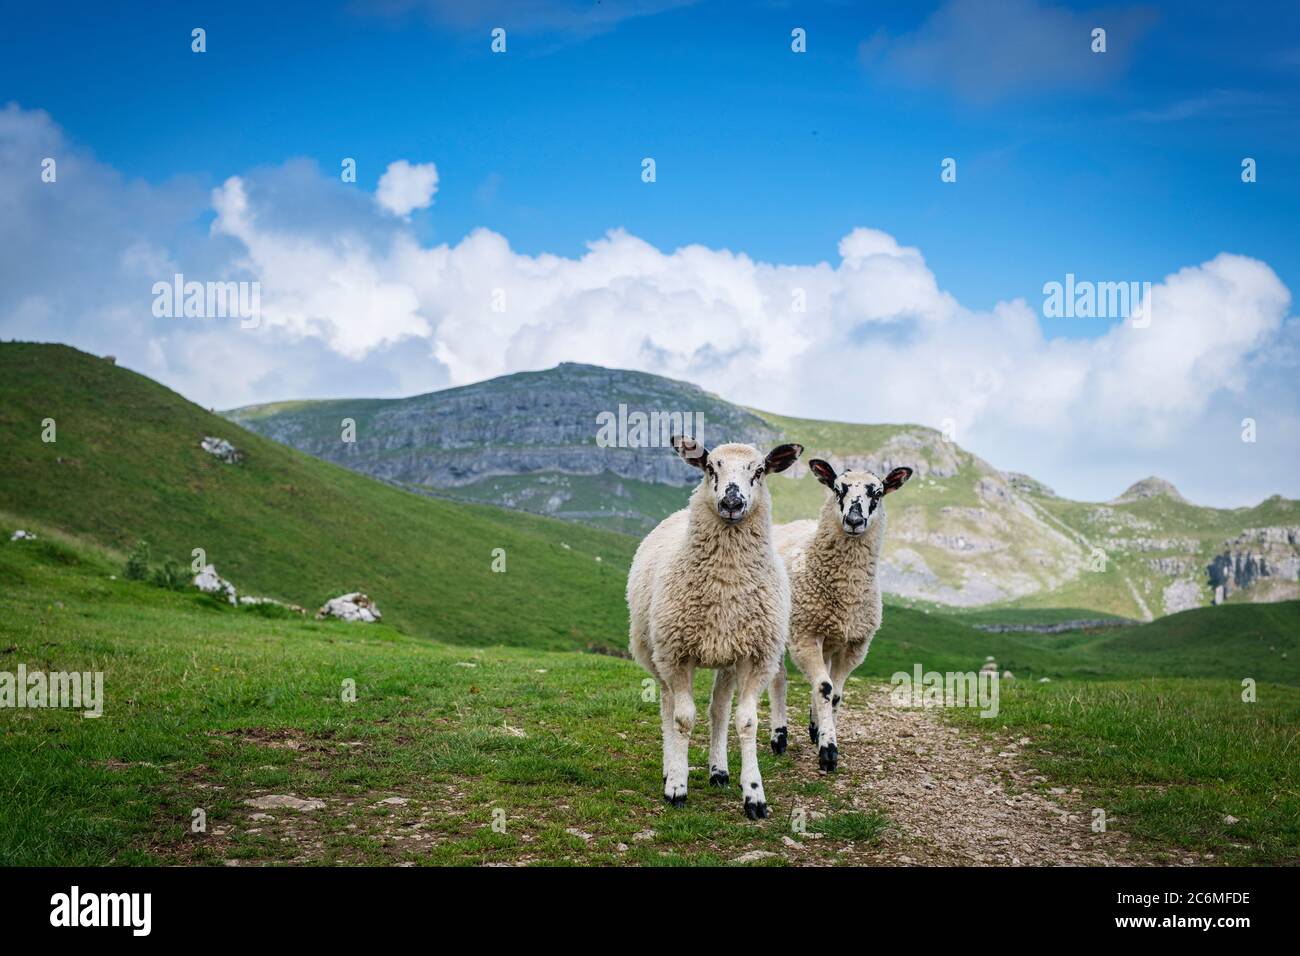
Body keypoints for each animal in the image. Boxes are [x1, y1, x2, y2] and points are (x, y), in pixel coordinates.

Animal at [627, 435, 804, 818]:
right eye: (710, 467)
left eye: (760, 470)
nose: (732, 503)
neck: (726, 583)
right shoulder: (677, 654)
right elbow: (682, 719)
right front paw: (677, 788)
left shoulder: (756, 657)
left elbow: (746, 721)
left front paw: (754, 794)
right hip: (656, 653)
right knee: (667, 705)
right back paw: (670, 768)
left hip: (727, 658)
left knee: (719, 710)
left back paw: (719, 771)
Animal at [768, 459, 913, 772]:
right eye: (837, 489)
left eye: (878, 492)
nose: (855, 520)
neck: (846, 591)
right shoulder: (805, 635)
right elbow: (824, 687)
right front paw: (828, 751)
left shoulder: (854, 645)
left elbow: (834, 693)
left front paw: (823, 732)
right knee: (779, 678)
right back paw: (779, 737)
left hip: (831, 640)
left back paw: (813, 726)